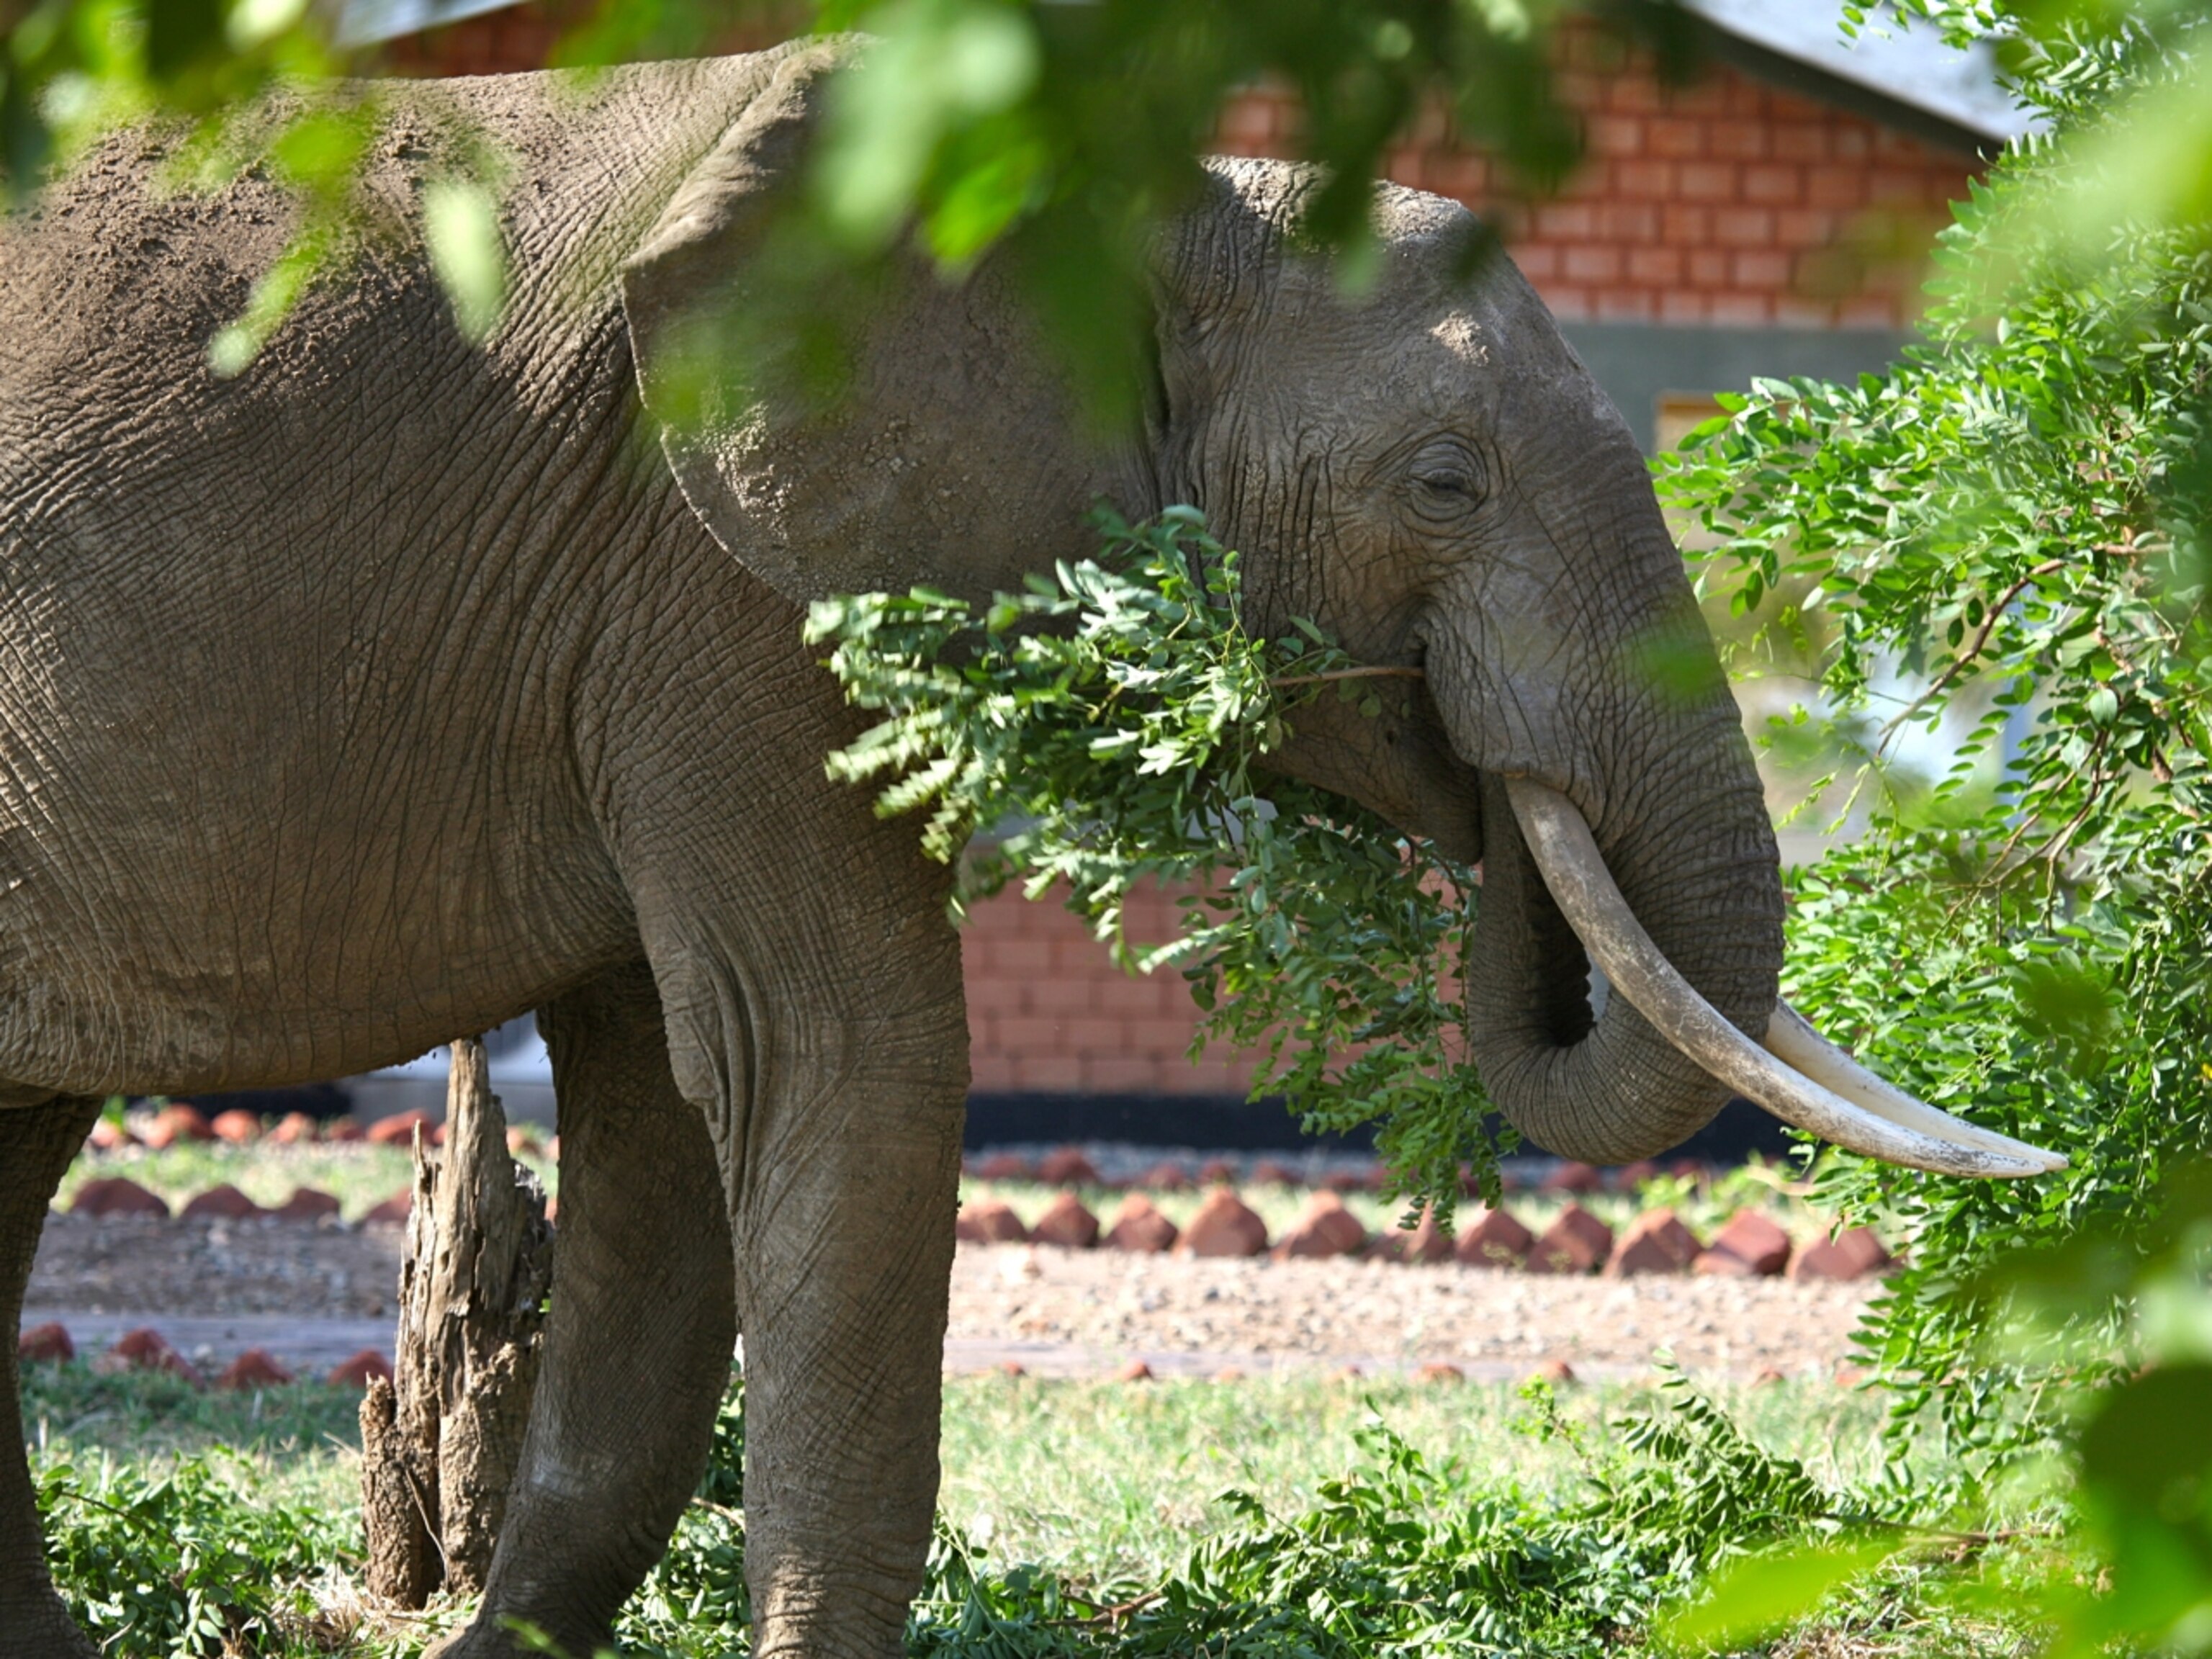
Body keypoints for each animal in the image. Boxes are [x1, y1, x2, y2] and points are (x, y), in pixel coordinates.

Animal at [0, 36, 2061, 1659]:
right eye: (1442, 486)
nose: (1484, 778)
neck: (1111, 193)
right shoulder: (705, 576)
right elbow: (841, 1059)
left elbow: (668, 1117)